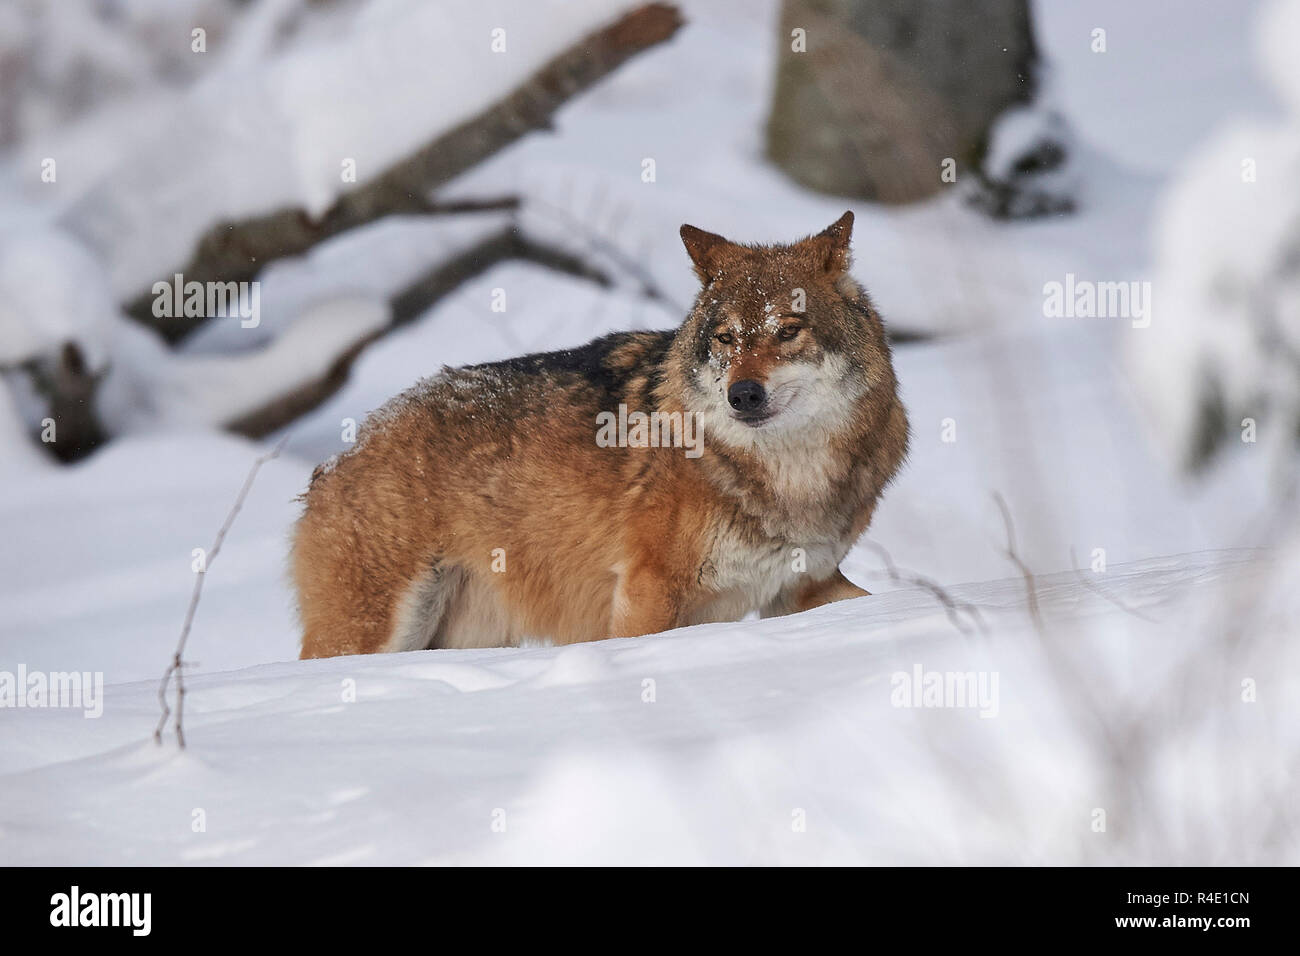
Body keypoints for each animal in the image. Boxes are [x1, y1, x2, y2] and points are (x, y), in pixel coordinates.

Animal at [292, 212, 909, 657]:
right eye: (727, 338)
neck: (788, 478)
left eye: (788, 330)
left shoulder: (807, 587)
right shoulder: (647, 590)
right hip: (375, 630)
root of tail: (339, 456)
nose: (744, 395)